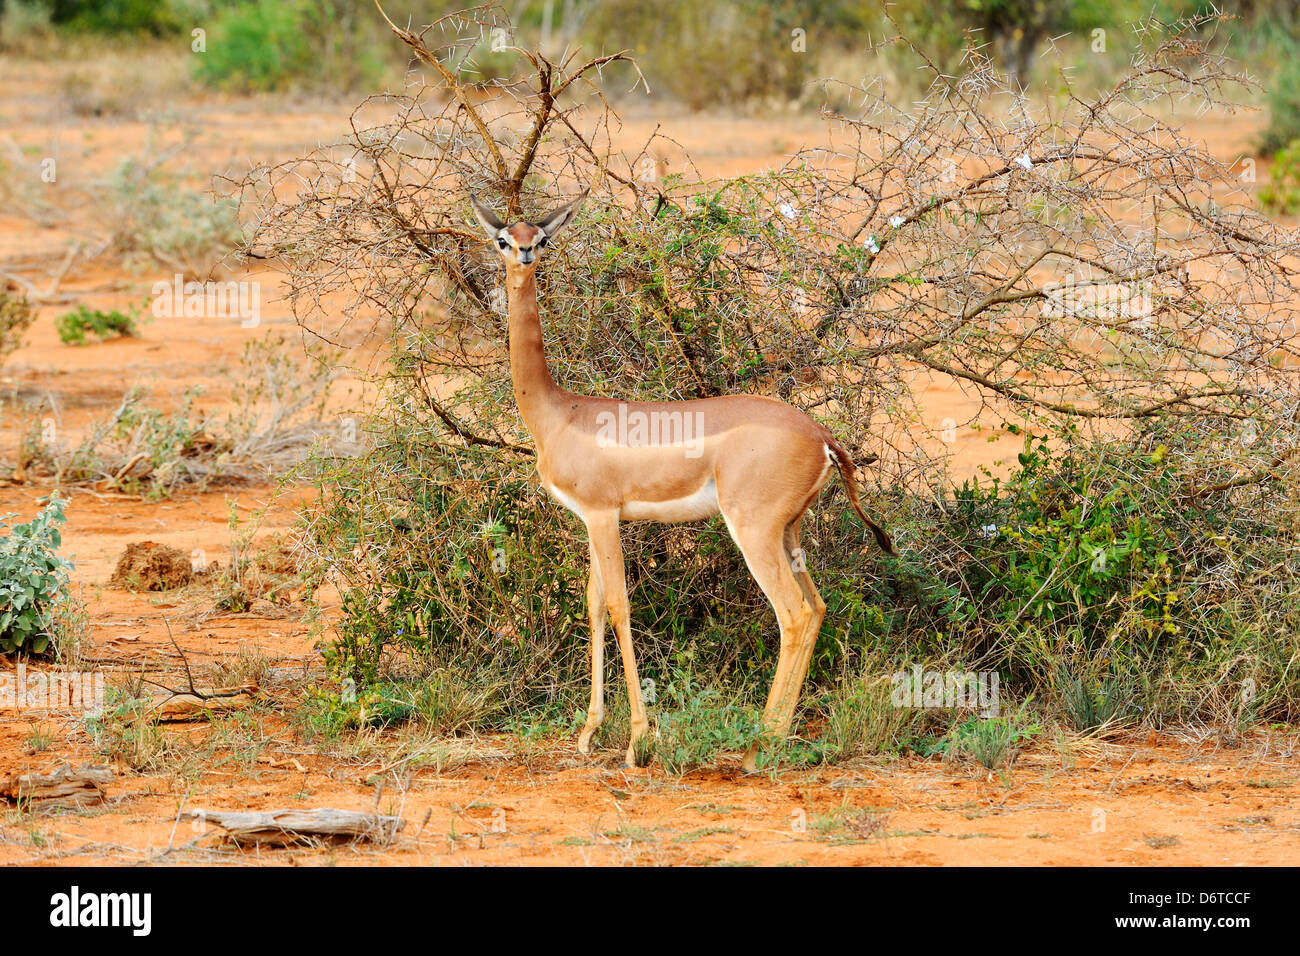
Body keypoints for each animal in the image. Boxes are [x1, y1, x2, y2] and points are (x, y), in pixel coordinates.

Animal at [470, 192, 895, 771]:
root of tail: (823, 437)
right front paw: (588, 734)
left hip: (754, 531)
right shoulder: (591, 522)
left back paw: (757, 748)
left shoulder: (603, 516)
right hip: (790, 532)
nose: (525, 258)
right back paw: (775, 738)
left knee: (792, 614)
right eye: (503, 238)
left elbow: (618, 606)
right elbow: (593, 606)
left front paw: (635, 743)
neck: (560, 412)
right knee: (817, 608)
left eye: (541, 237)